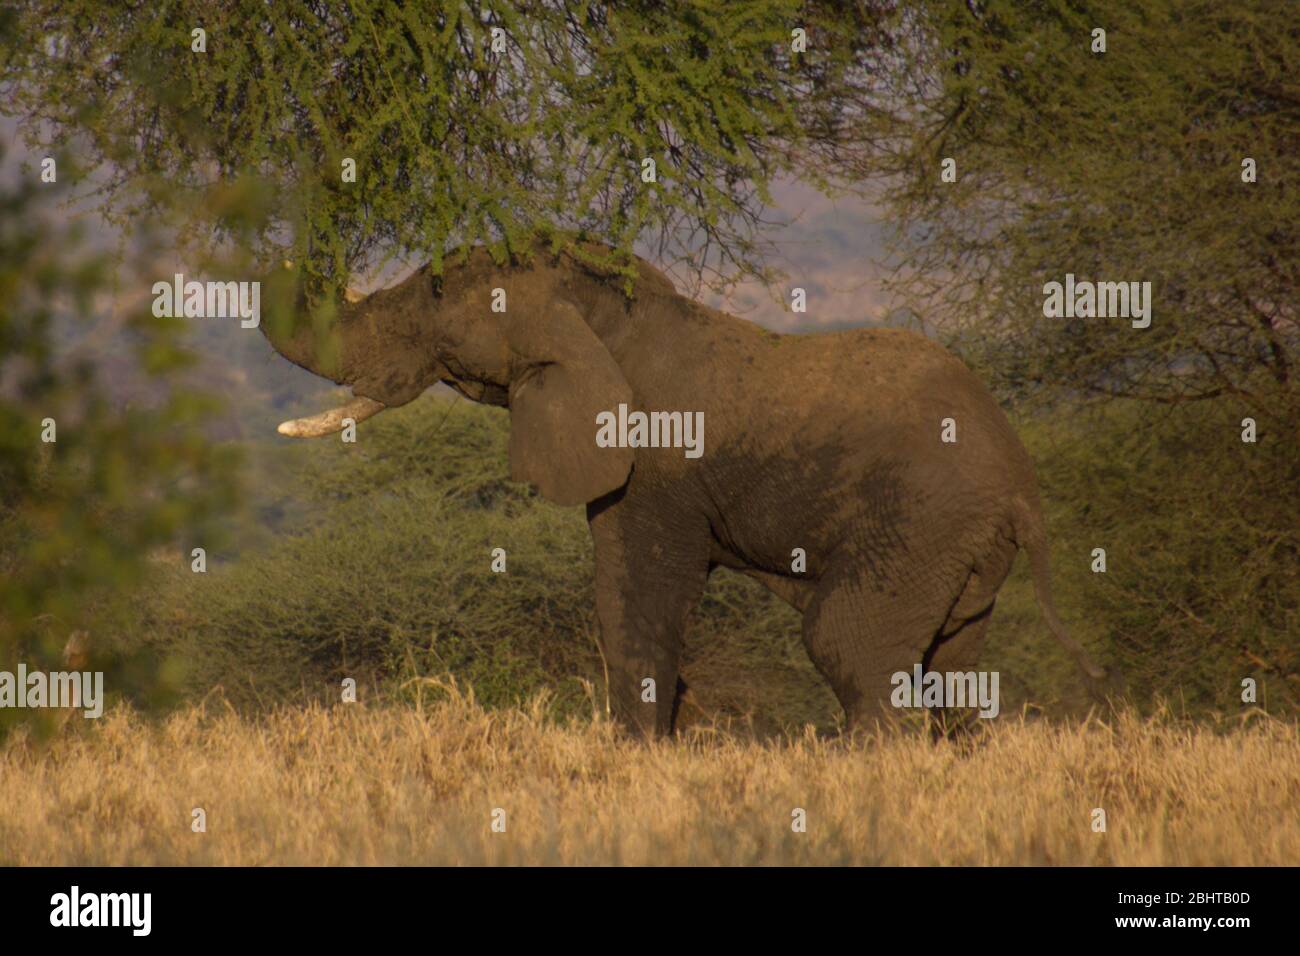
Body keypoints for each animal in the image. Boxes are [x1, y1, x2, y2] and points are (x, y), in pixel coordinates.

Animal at [264, 240, 1108, 736]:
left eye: (435, 300)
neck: (606, 311)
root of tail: (1023, 489)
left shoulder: (652, 471)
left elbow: (638, 595)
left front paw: (637, 754)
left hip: (919, 524)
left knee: (846, 643)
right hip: (958, 549)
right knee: (952, 668)